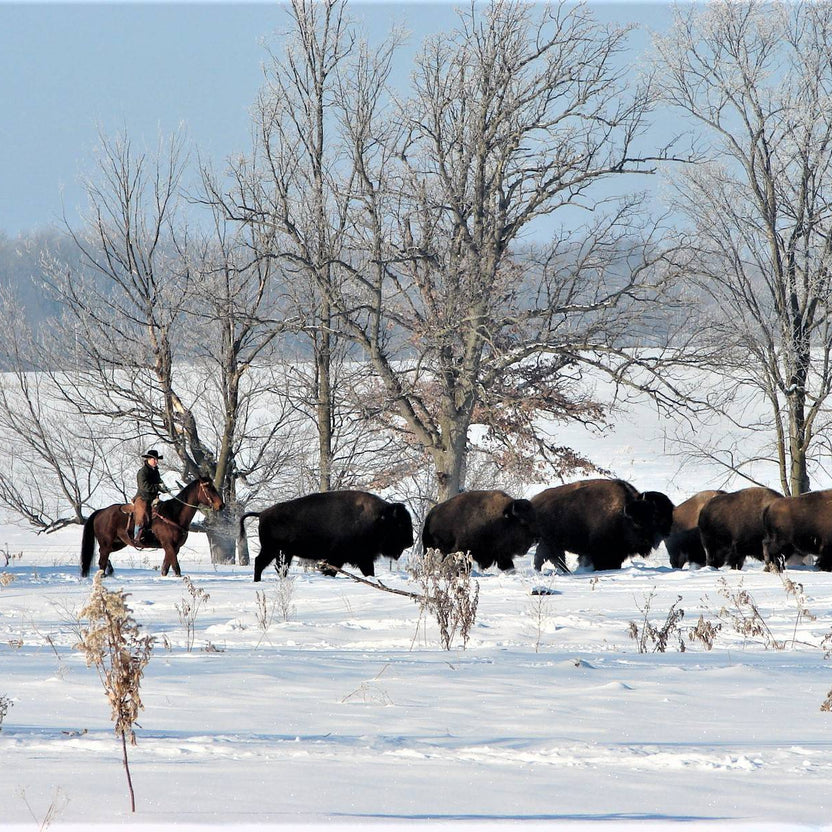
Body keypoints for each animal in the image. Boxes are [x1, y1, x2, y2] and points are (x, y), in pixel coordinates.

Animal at [240, 490, 414, 582]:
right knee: (260, 562)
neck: (379, 517)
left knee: (276, 566)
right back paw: (257, 580)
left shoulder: (363, 557)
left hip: (282, 553)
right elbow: (332, 569)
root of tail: (262, 514)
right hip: (272, 549)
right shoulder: (340, 556)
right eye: (400, 524)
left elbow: (368, 571)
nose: (410, 542)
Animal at [530, 478, 674, 572]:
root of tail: (534, 502)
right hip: (550, 543)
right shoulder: (603, 553)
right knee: (548, 558)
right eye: (655, 515)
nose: (667, 532)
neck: (625, 513)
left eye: (669, 513)